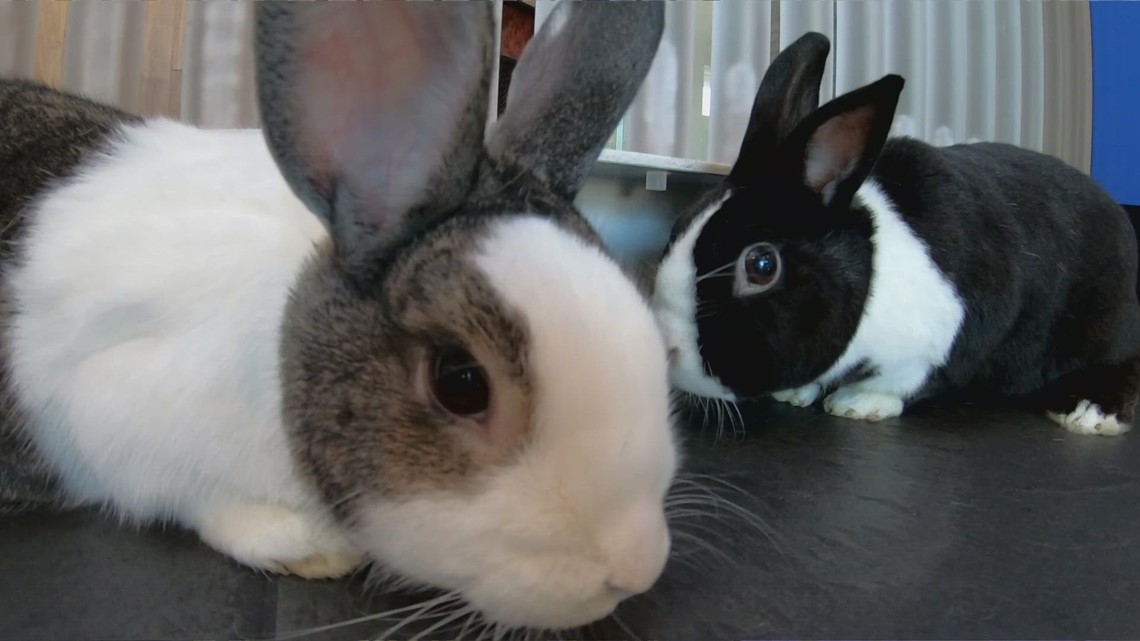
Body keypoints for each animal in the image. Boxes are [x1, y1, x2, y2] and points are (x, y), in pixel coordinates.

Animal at [653, 31, 1140, 437]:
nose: (667, 348)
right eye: (679, 226)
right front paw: (796, 394)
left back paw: (1089, 414)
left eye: (760, 265)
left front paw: (856, 403)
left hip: (1108, 329)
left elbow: (903, 380)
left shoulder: (943, 337)